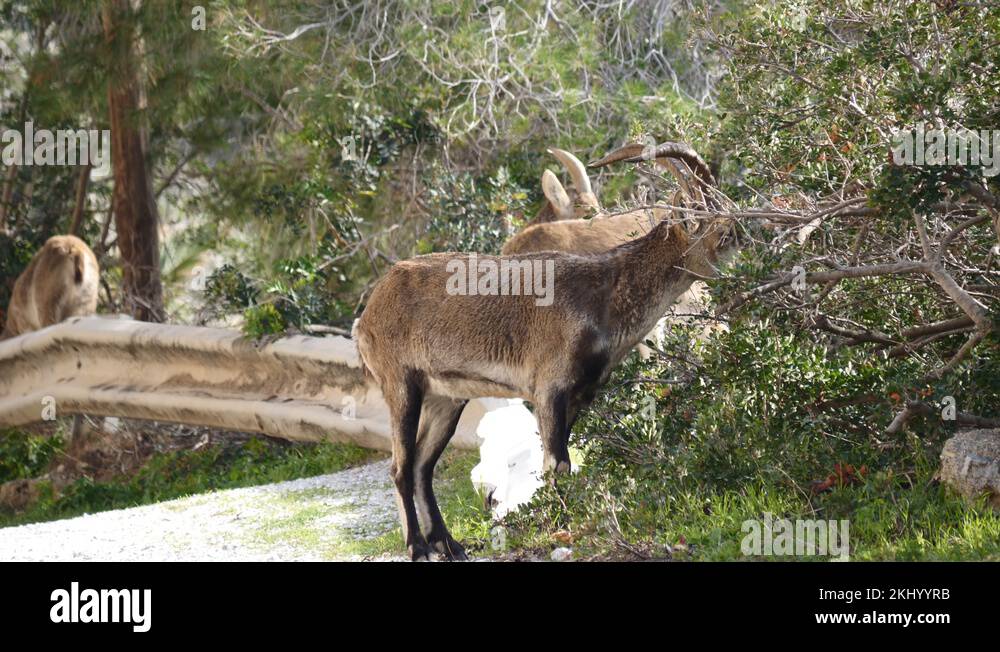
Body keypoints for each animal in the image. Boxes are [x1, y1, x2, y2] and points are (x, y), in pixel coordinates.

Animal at [354, 155, 735, 559]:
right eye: (722, 232)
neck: (604, 294)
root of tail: (368, 312)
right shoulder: (548, 389)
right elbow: (557, 463)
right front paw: (558, 530)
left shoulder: (580, 394)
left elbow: (559, 461)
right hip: (401, 385)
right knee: (401, 467)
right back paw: (418, 547)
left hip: (446, 397)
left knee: (423, 466)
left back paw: (449, 543)